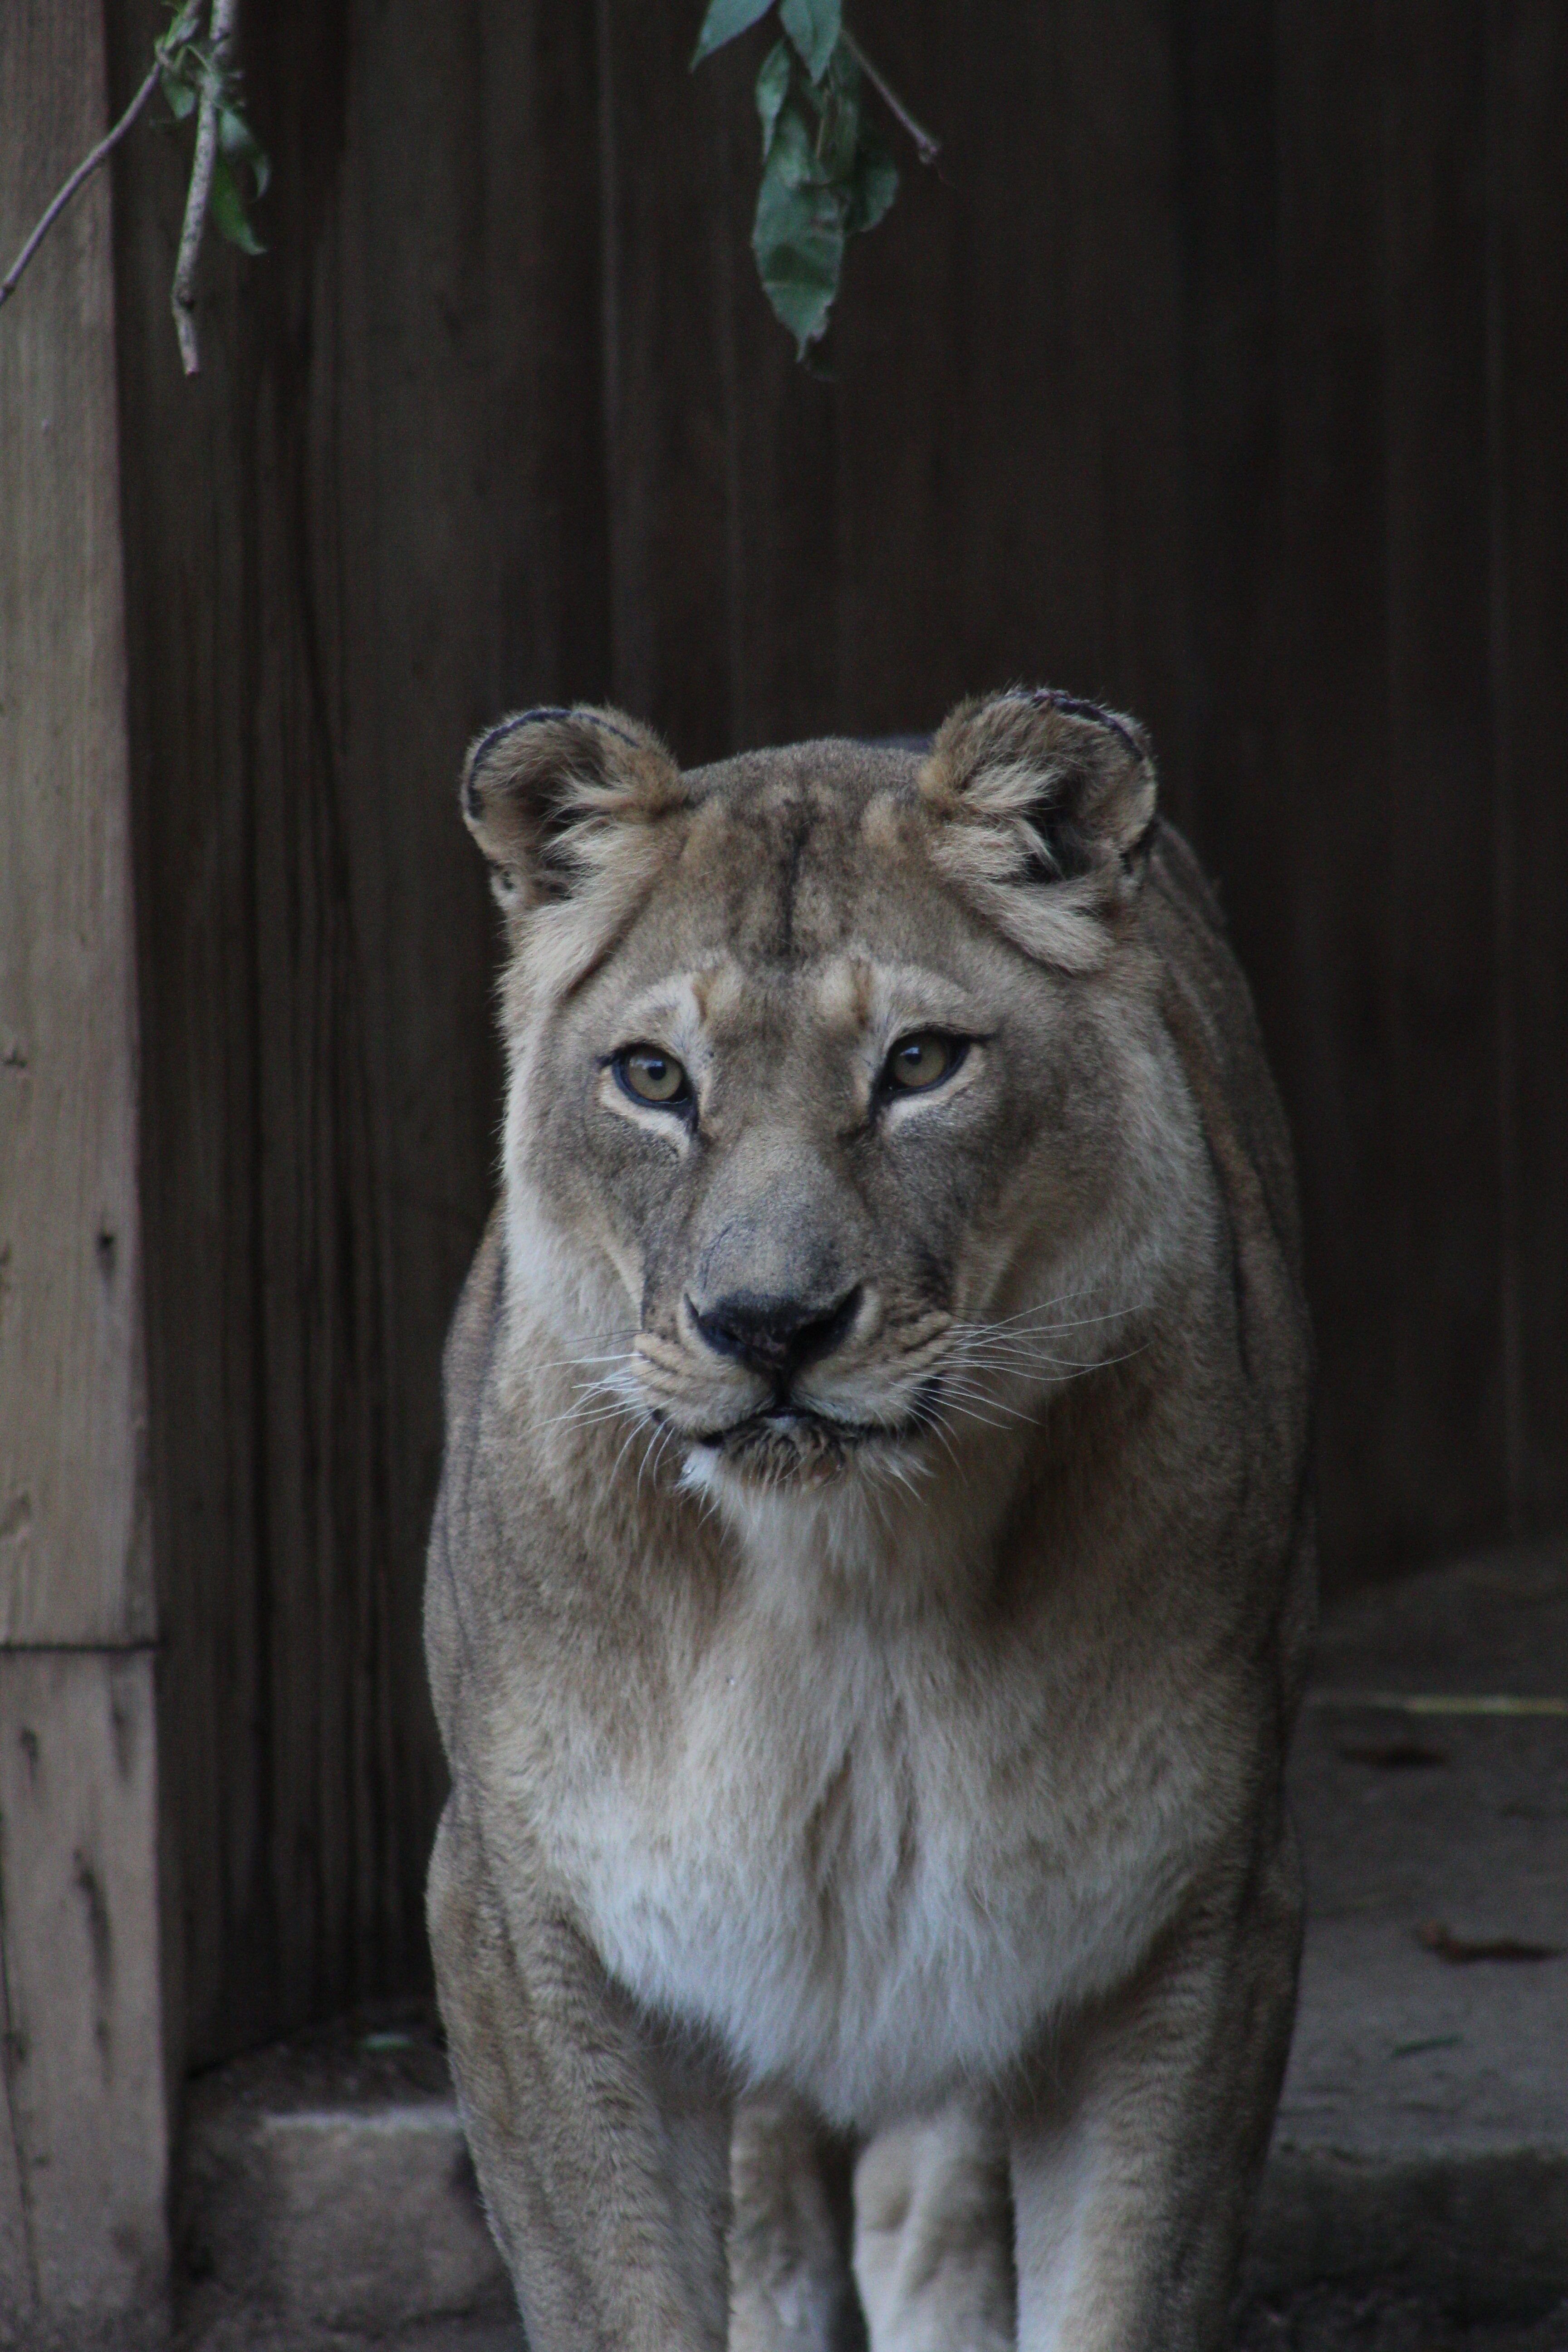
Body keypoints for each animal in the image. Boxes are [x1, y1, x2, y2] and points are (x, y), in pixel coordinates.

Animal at [424, 690, 1315, 2352]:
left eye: (918, 1062)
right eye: (654, 1080)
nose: (767, 1324)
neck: (835, 1577)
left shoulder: (1198, 1917)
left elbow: (1124, 2285)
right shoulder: (523, 1916)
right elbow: (618, 2291)